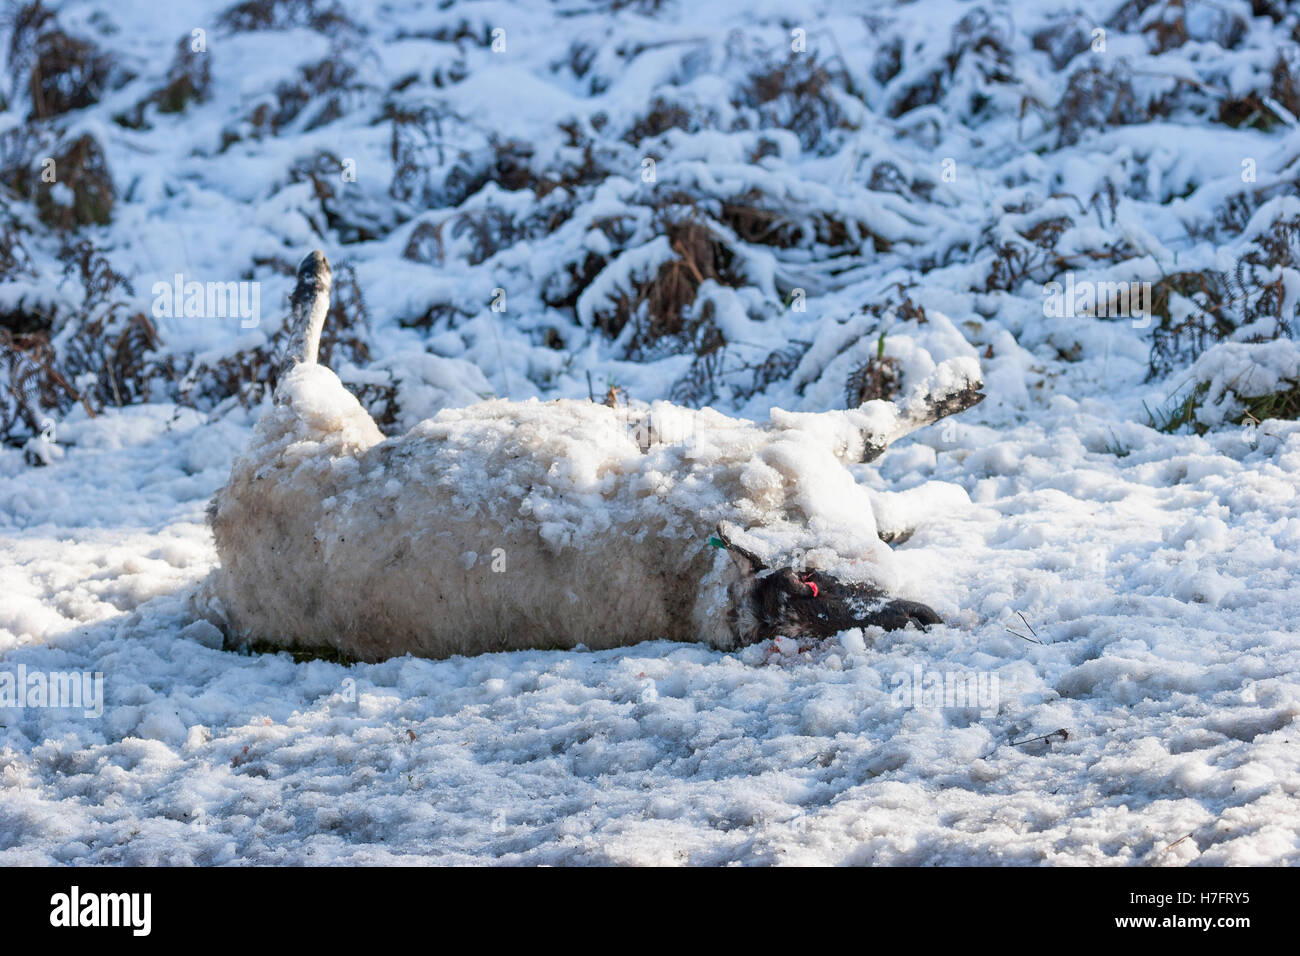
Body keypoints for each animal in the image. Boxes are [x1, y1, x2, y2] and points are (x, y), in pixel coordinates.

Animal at [194, 251, 984, 661]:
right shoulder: (789, 444)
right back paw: (314, 274)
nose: (920, 620)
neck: (692, 584)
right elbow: (873, 429)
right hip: (313, 413)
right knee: (295, 360)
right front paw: (959, 388)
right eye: (812, 591)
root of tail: (223, 522)